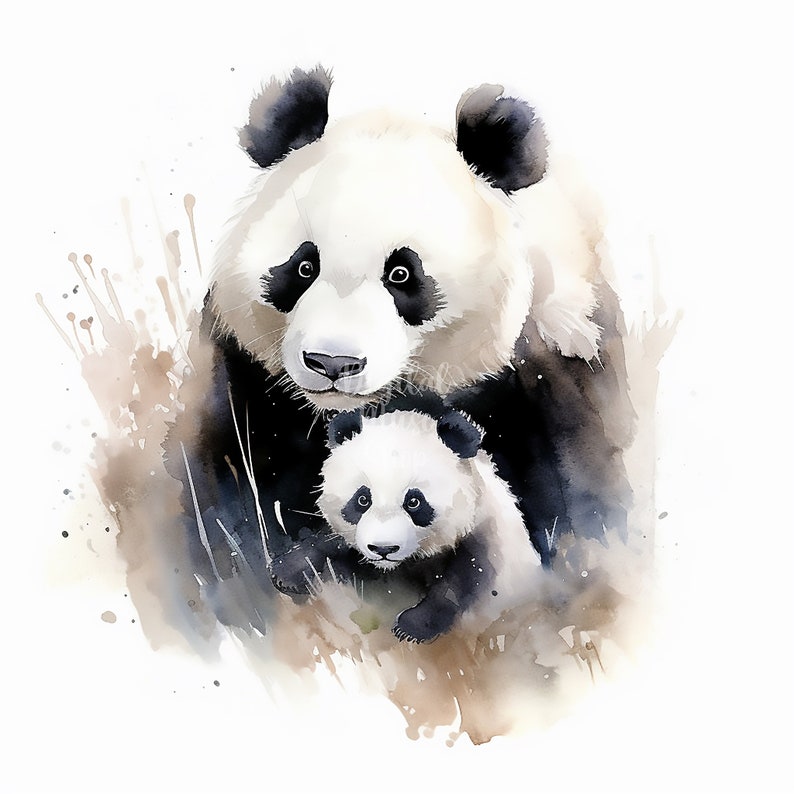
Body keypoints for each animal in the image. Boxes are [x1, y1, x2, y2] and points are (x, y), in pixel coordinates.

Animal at [165, 65, 632, 616]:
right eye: (303, 266)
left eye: (402, 274)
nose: (333, 362)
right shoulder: (244, 385)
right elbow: (222, 502)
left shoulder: (546, 381)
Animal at [271, 406, 541, 643]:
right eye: (362, 499)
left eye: (414, 501)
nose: (383, 549)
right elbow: (330, 543)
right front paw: (287, 570)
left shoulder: (484, 539)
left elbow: (461, 583)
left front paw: (412, 627)